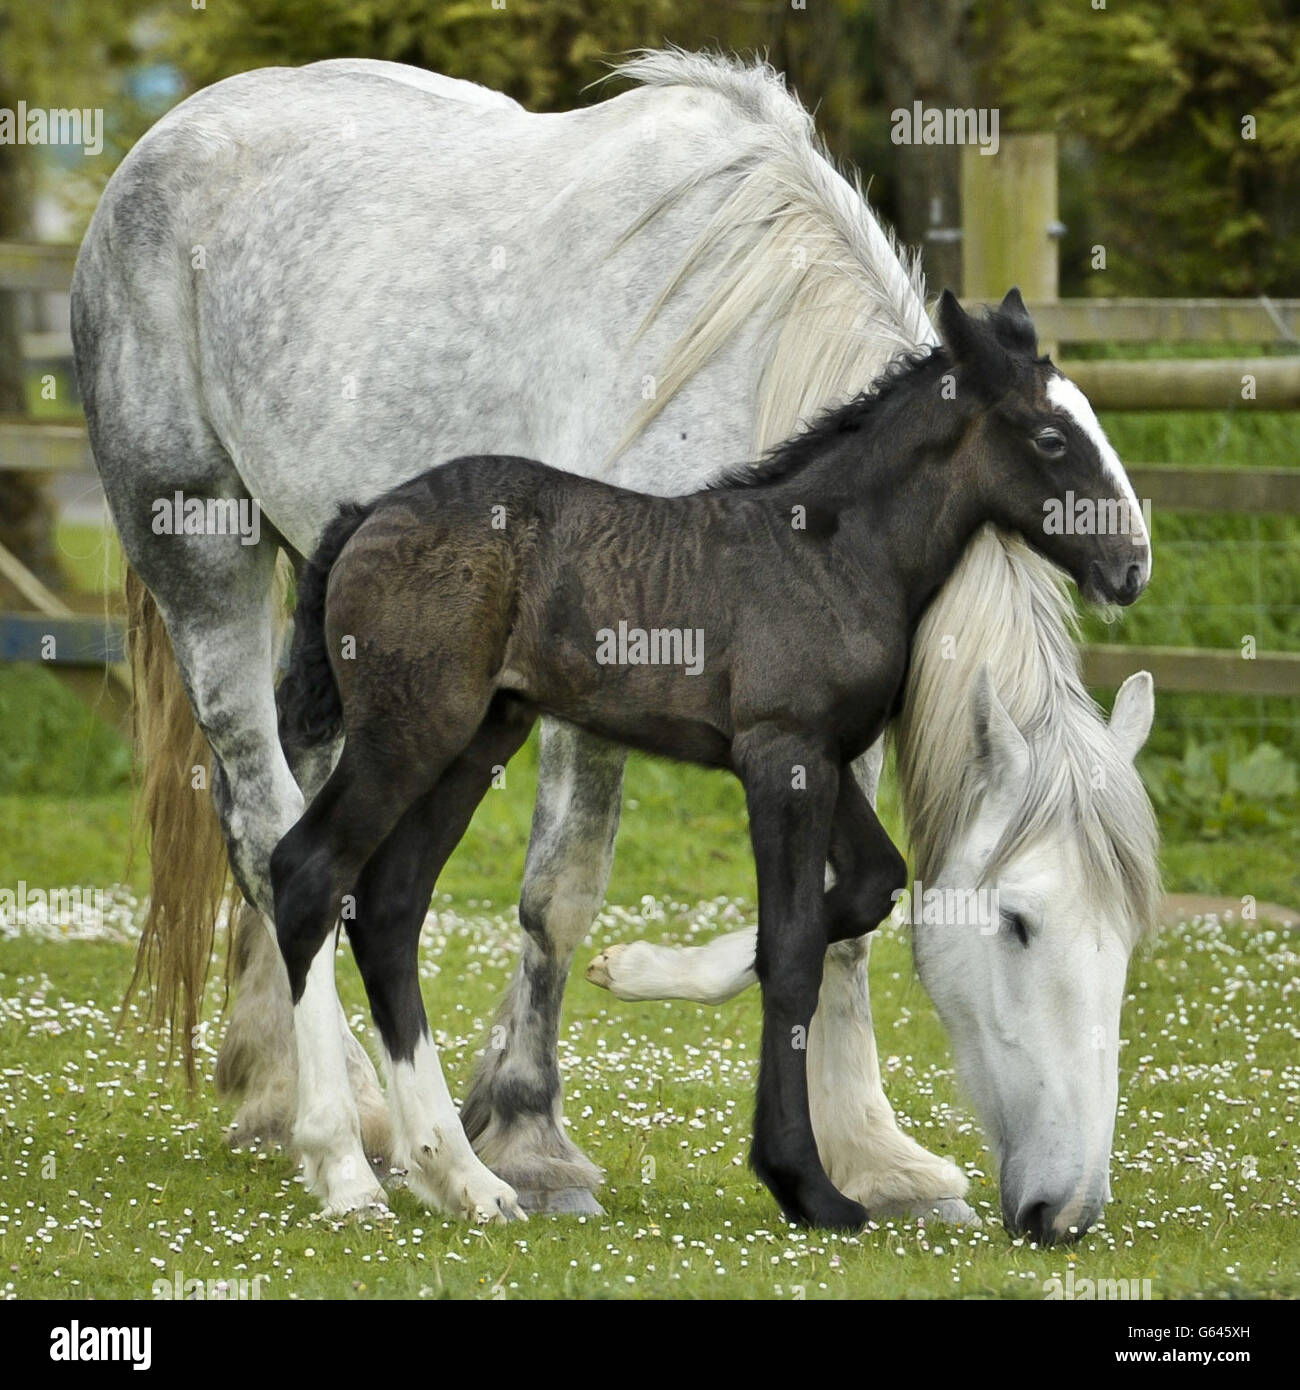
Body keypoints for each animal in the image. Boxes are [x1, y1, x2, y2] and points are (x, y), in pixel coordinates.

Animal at [266, 289, 1148, 1231]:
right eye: (1051, 439)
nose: (1131, 568)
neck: (833, 550)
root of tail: (369, 513)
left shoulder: (822, 752)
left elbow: (867, 886)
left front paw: (639, 968)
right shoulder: (780, 752)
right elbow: (794, 949)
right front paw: (805, 1183)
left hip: (479, 737)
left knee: (389, 906)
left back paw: (462, 1175)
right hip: (410, 731)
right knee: (310, 874)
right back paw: (345, 1170)